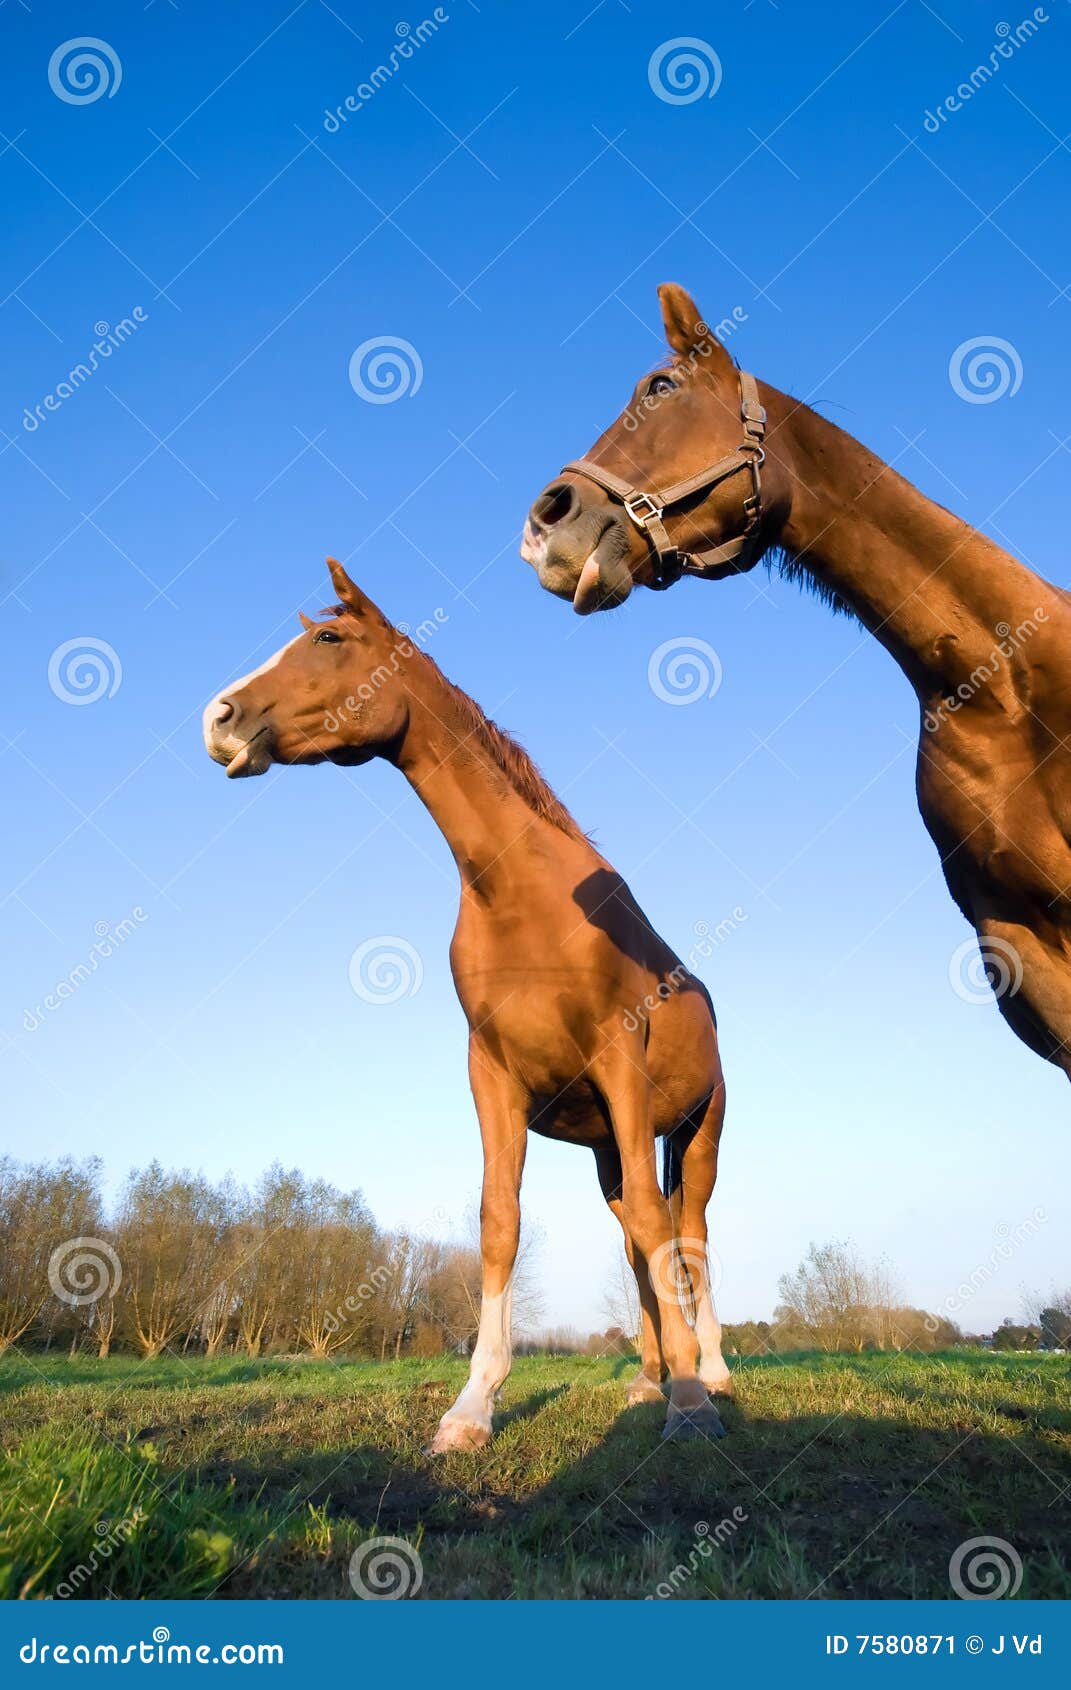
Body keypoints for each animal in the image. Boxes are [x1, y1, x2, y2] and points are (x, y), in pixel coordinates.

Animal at [203, 559, 731, 1447]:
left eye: (330, 638)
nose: (219, 718)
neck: (525, 896)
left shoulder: (617, 1061)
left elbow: (662, 1229)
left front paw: (691, 1398)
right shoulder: (492, 1076)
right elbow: (500, 1223)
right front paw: (472, 1405)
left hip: (696, 1133)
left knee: (686, 1231)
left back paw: (713, 1371)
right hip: (605, 1150)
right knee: (635, 1239)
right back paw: (647, 1377)